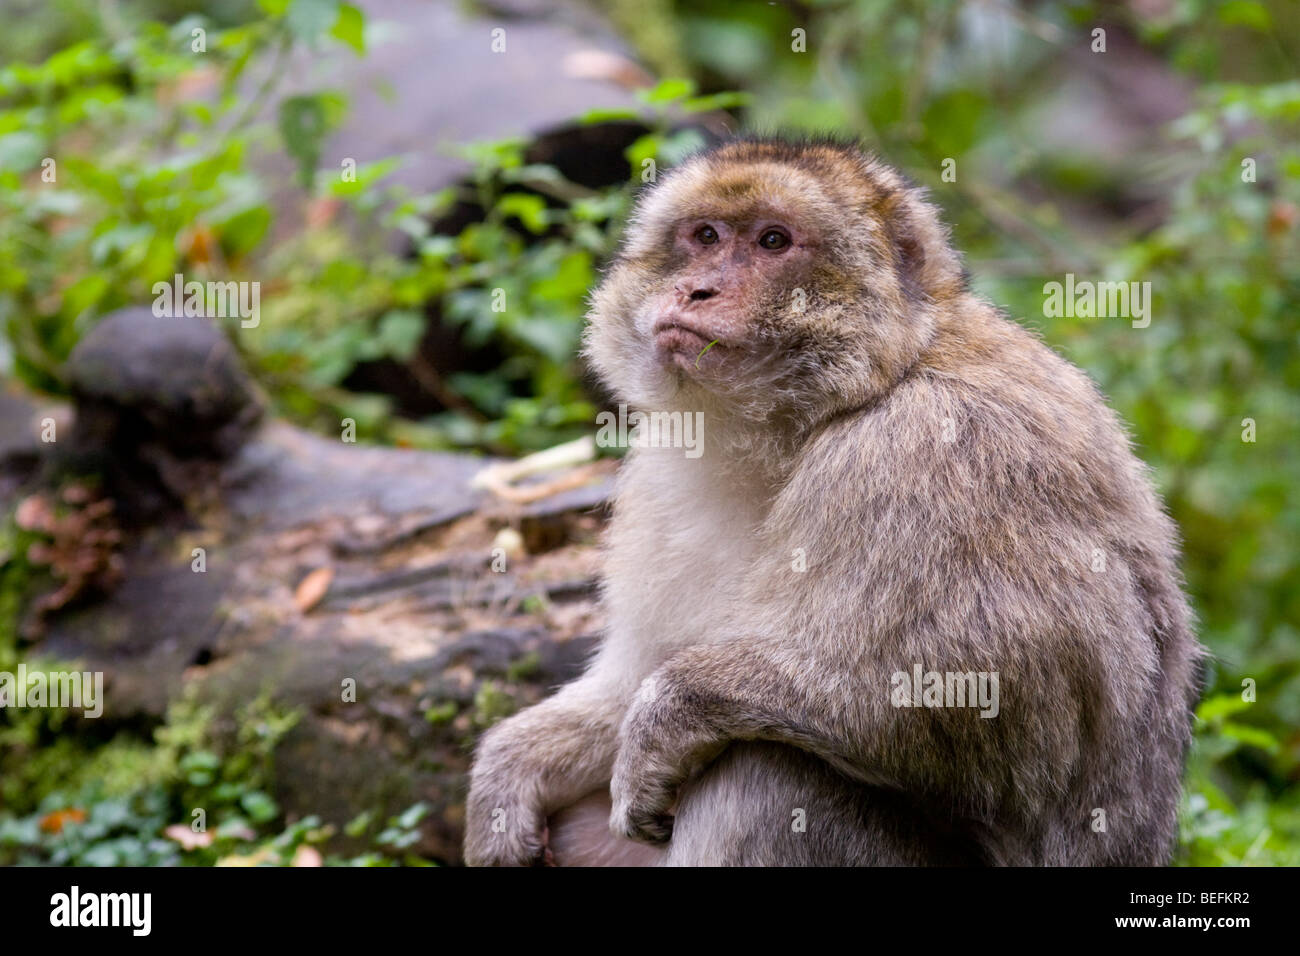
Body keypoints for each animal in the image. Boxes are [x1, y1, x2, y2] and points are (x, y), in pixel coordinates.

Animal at [463, 137, 1204, 866]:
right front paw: (512, 766)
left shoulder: (924, 451)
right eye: (705, 236)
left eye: (772, 241)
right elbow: (630, 677)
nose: (696, 288)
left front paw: (667, 713)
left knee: (765, 773)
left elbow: (980, 687)